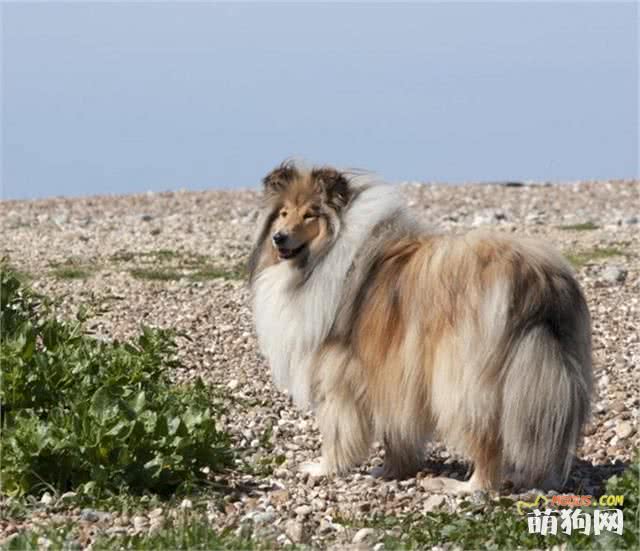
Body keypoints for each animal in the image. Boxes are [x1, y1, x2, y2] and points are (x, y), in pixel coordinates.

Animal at [248, 162, 592, 494]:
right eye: (283, 212)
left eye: (310, 214)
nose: (279, 237)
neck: (326, 252)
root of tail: (537, 283)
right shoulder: (393, 371)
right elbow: (396, 428)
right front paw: (393, 470)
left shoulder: (339, 374)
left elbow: (336, 430)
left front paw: (324, 468)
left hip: (458, 378)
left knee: (486, 440)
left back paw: (467, 486)